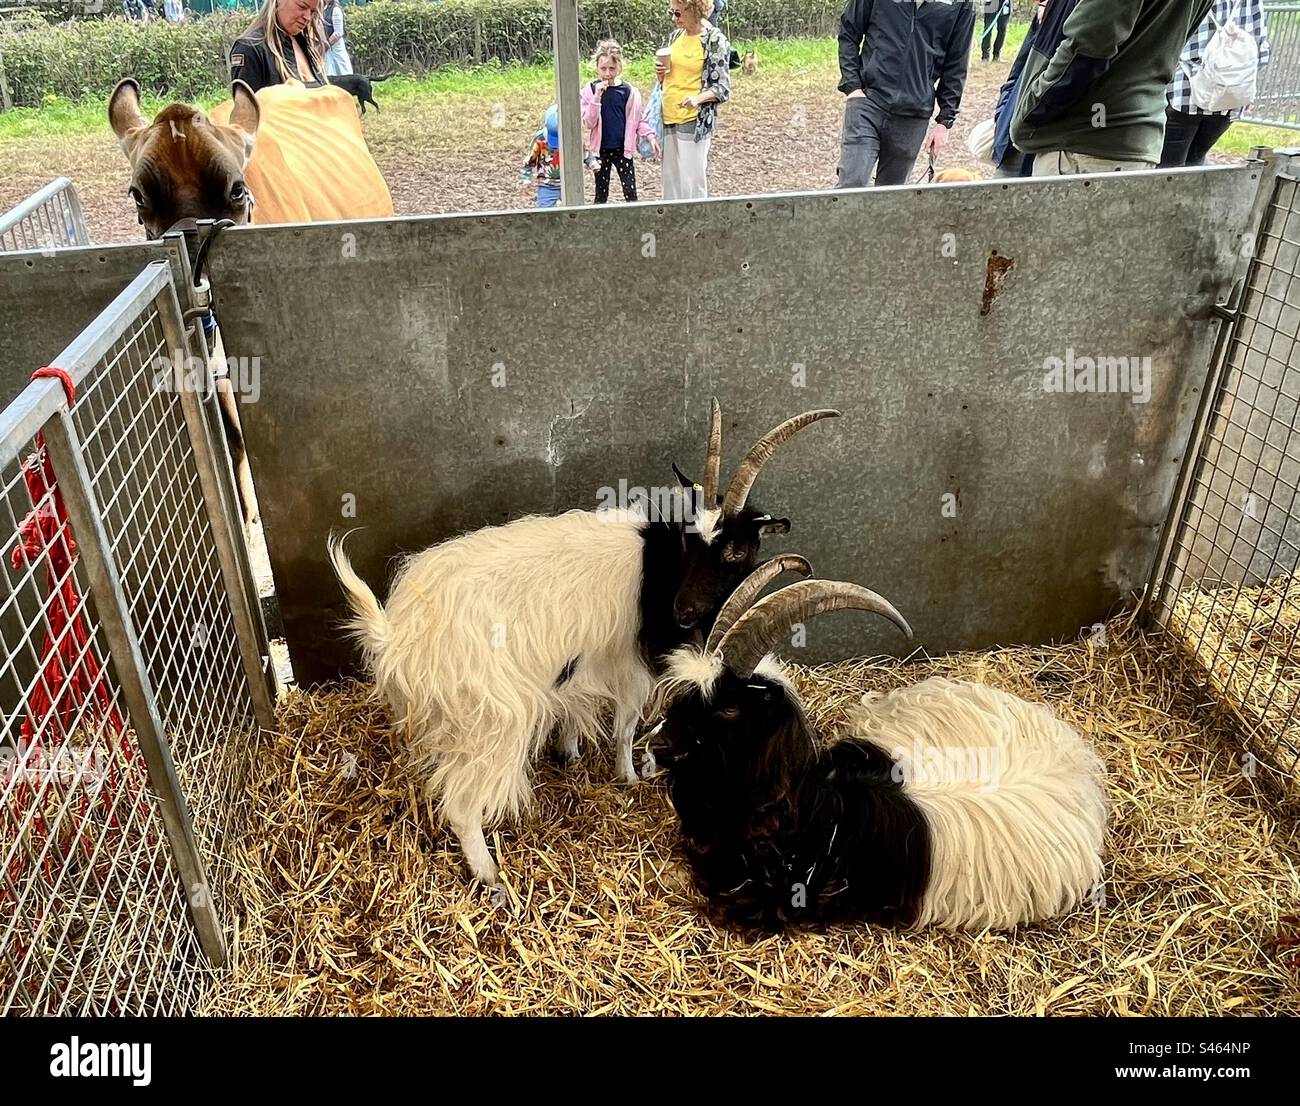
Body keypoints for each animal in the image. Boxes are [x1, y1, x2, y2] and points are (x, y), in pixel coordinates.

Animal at [328, 402, 839, 884]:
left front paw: (570, 752)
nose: (682, 612)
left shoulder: (582, 660)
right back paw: (488, 873)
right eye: (690, 542)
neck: (661, 570)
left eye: (735, 551)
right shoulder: (628, 662)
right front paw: (627, 775)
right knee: (463, 803)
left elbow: (576, 705)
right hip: (491, 720)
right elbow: (626, 723)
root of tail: (398, 633)